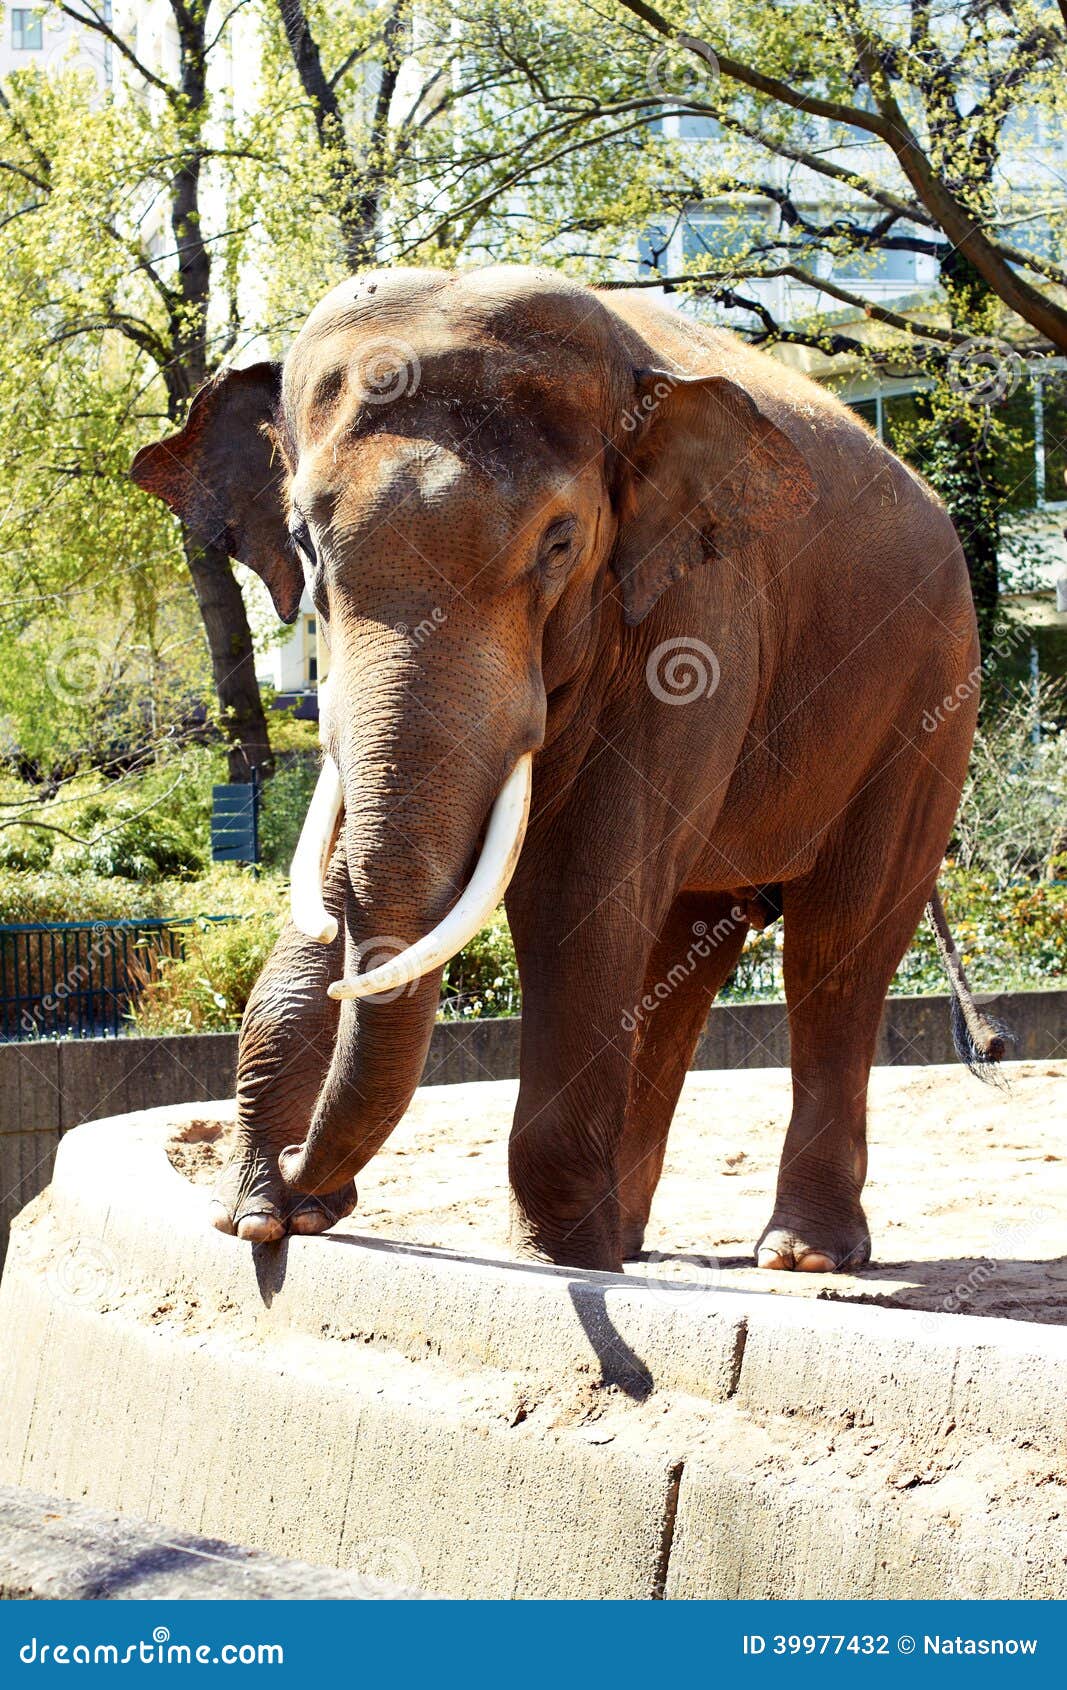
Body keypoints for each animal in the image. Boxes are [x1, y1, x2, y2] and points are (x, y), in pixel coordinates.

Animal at [131, 264, 1005, 1275]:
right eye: (306, 545)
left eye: (559, 544)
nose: (305, 1174)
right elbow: (349, 876)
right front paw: (258, 1216)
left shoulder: (696, 616)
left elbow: (579, 889)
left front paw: (551, 1259)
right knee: (686, 946)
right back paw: (625, 1238)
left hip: (929, 700)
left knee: (840, 940)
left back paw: (796, 1256)